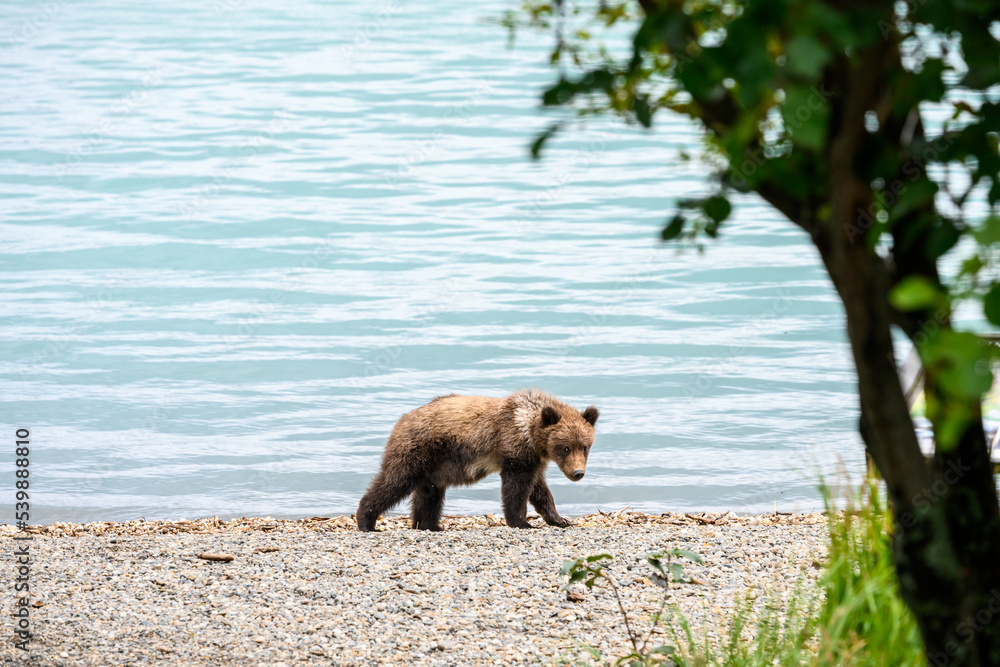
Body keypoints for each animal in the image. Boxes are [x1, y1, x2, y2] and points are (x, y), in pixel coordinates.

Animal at [356, 388, 599, 531]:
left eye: (585, 447)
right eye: (565, 447)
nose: (578, 473)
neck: (529, 431)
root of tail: (402, 420)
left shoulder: (533, 459)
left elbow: (539, 490)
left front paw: (560, 519)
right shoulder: (513, 450)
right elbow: (516, 488)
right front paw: (521, 522)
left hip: (434, 467)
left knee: (429, 494)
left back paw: (429, 525)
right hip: (417, 451)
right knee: (395, 481)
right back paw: (367, 521)